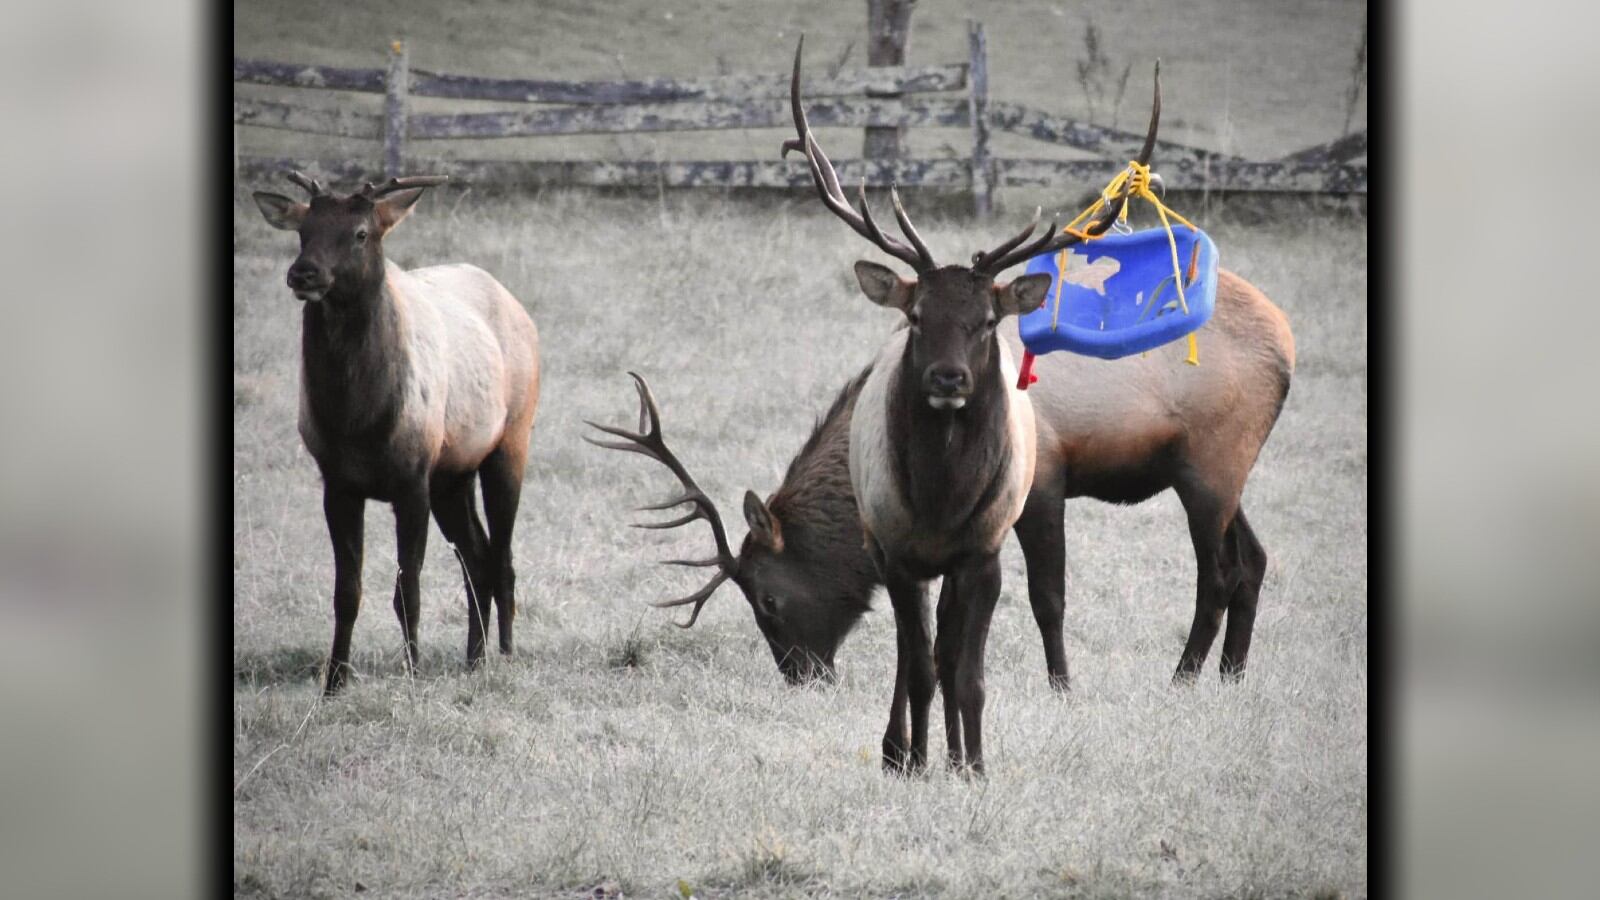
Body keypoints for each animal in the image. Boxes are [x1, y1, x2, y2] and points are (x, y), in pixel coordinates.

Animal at [252, 172, 541, 695]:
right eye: (304, 230)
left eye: (361, 233)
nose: (303, 274)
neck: (357, 421)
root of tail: (518, 308)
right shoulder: (338, 482)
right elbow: (347, 590)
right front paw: (334, 680)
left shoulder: (412, 479)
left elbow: (408, 588)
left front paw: (413, 675)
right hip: (454, 474)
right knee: (478, 557)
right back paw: (474, 657)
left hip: (511, 439)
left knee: (502, 556)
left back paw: (505, 654)